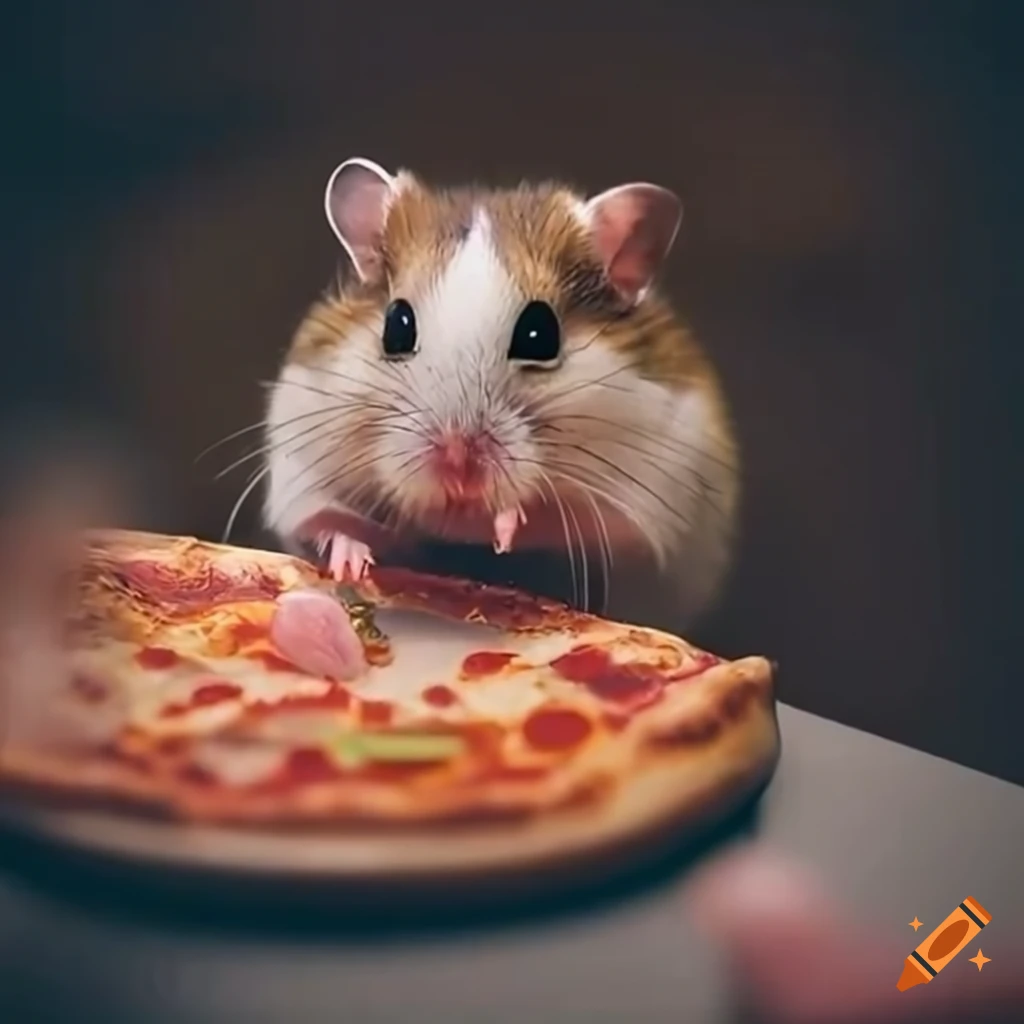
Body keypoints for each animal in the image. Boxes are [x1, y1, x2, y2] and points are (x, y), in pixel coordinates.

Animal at [263, 158, 738, 630]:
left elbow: (561, 519)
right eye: (396, 325)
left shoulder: (638, 502)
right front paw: (351, 563)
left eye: (540, 335)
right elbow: (326, 518)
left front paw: (498, 521)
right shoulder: (299, 463)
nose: (457, 464)